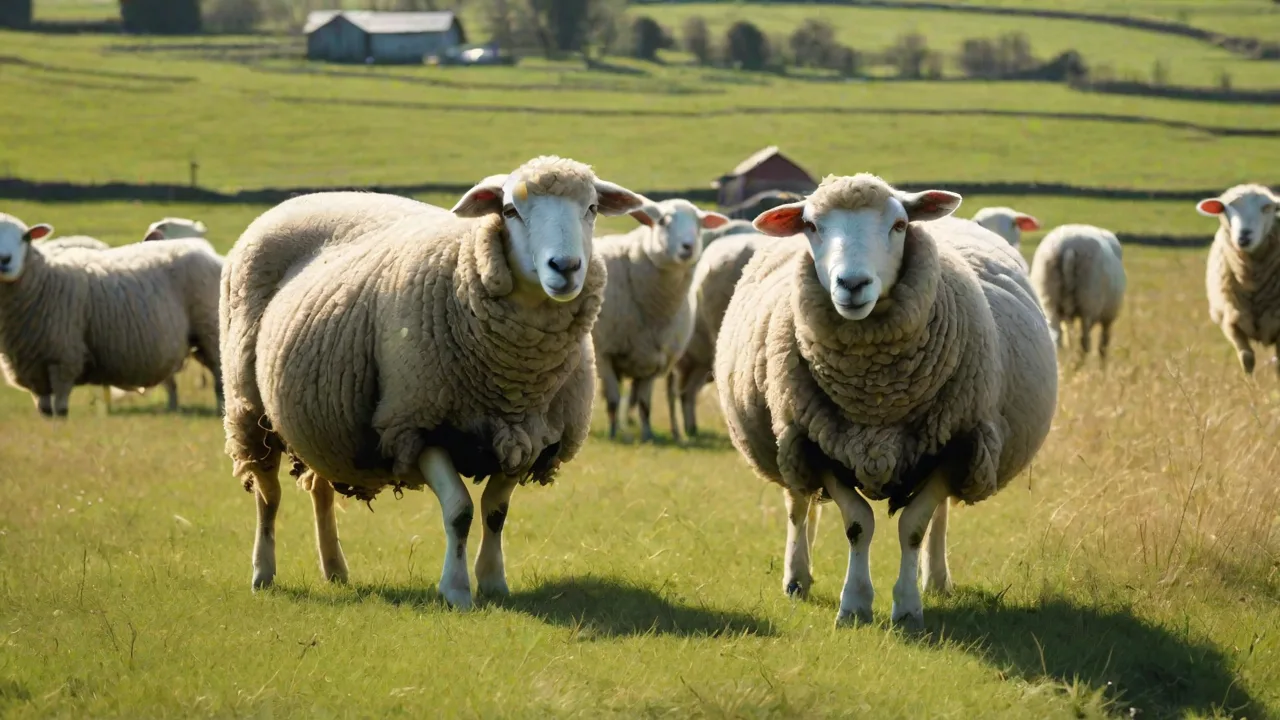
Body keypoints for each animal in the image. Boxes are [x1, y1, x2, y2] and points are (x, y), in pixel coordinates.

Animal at [0, 212, 223, 417]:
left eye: (25, 237)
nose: (5, 260)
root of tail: (209, 255)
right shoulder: (32, 363)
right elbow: (44, 406)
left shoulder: (62, 356)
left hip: (210, 333)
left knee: (220, 377)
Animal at [220, 158, 646, 609]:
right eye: (510, 210)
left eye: (592, 208)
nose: (565, 268)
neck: (515, 381)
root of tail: (301, 199)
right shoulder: (416, 423)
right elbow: (460, 511)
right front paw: (456, 590)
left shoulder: (530, 436)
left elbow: (495, 512)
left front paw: (494, 583)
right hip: (248, 406)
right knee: (268, 494)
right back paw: (263, 573)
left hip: (322, 421)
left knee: (319, 487)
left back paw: (335, 569)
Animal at [592, 198, 729, 442]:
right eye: (664, 221)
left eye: (699, 224)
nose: (688, 247)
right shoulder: (604, 352)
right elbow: (614, 399)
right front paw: (613, 434)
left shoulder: (654, 359)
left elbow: (645, 404)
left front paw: (647, 435)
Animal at [715, 174, 1057, 628]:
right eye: (811, 226)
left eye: (899, 225)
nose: (852, 284)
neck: (875, 393)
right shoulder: (818, 444)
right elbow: (858, 524)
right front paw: (855, 605)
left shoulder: (955, 446)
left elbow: (914, 526)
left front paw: (908, 607)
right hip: (787, 438)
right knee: (798, 504)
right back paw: (797, 577)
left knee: (939, 515)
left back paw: (936, 579)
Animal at [1029, 224, 1127, 361]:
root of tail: (1068, 247)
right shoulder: (1108, 317)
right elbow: (1103, 346)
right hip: (1088, 303)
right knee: (1085, 342)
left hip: (1049, 299)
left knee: (1057, 338)